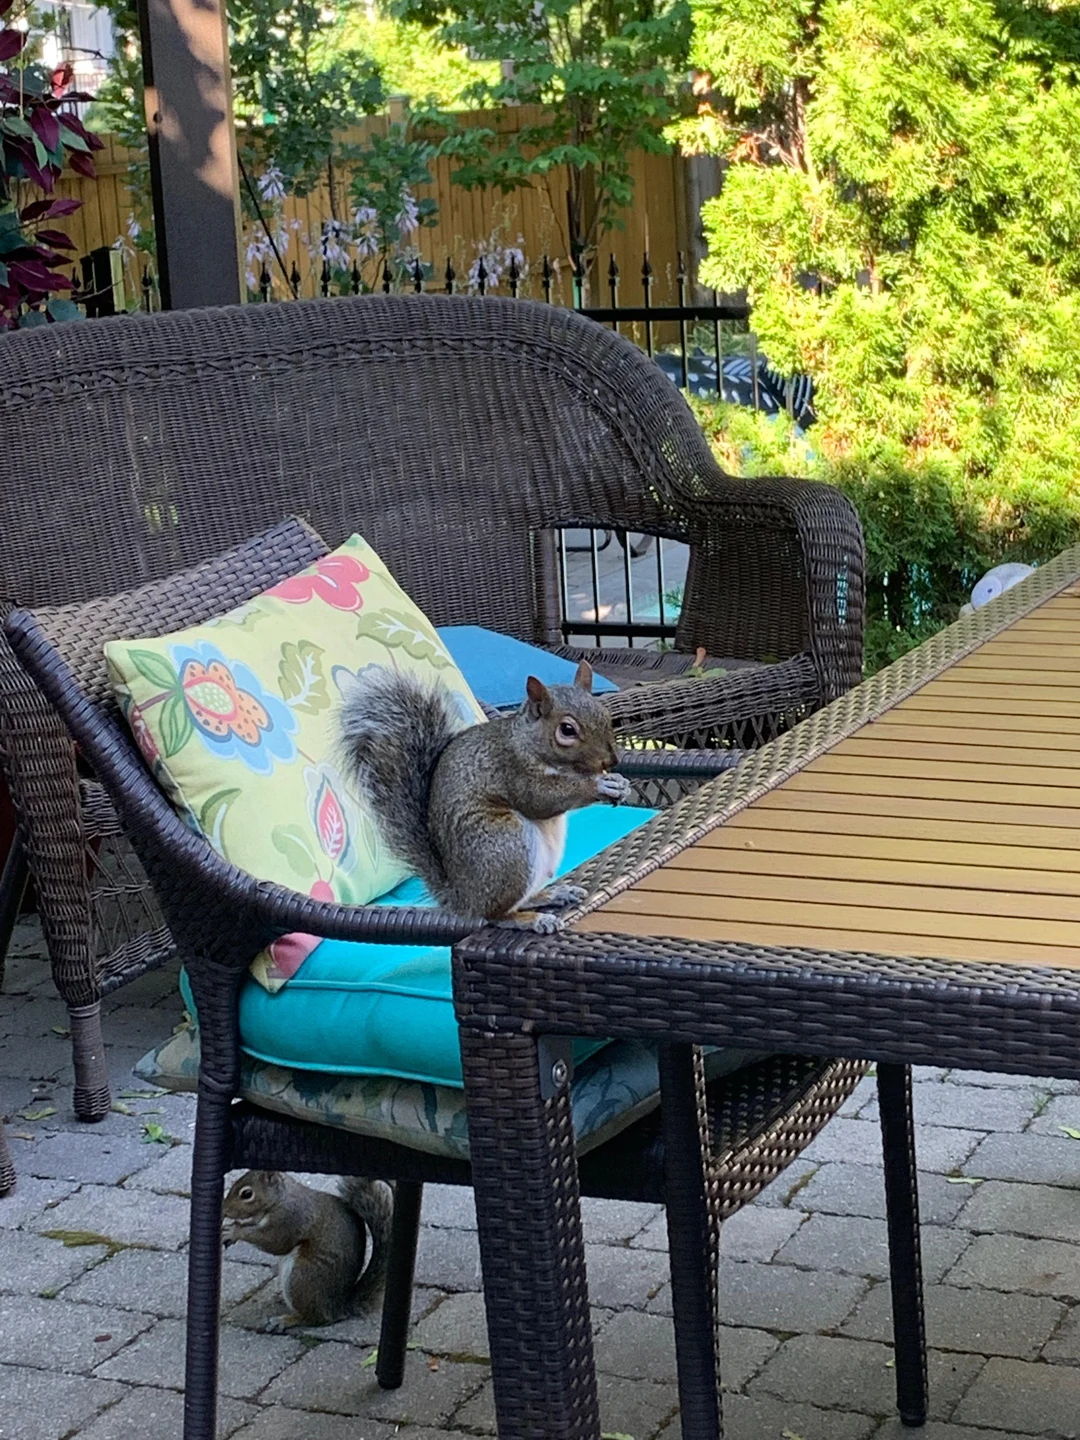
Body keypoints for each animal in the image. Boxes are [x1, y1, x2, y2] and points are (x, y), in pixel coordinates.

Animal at [222, 1170, 393, 1332]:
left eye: (246, 1194)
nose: (224, 1210)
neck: (281, 1198)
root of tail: (338, 1306)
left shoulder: (290, 1218)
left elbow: (275, 1242)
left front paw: (235, 1232)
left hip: (301, 1278)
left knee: (316, 1318)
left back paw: (288, 1319)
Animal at [338, 659, 631, 931]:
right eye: (567, 730)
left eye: (605, 713)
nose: (612, 760)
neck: (527, 742)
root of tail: (465, 898)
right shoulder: (512, 770)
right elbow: (540, 799)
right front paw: (599, 786)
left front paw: (620, 782)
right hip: (506, 845)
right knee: (496, 915)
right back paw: (533, 920)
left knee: (522, 899)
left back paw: (553, 893)